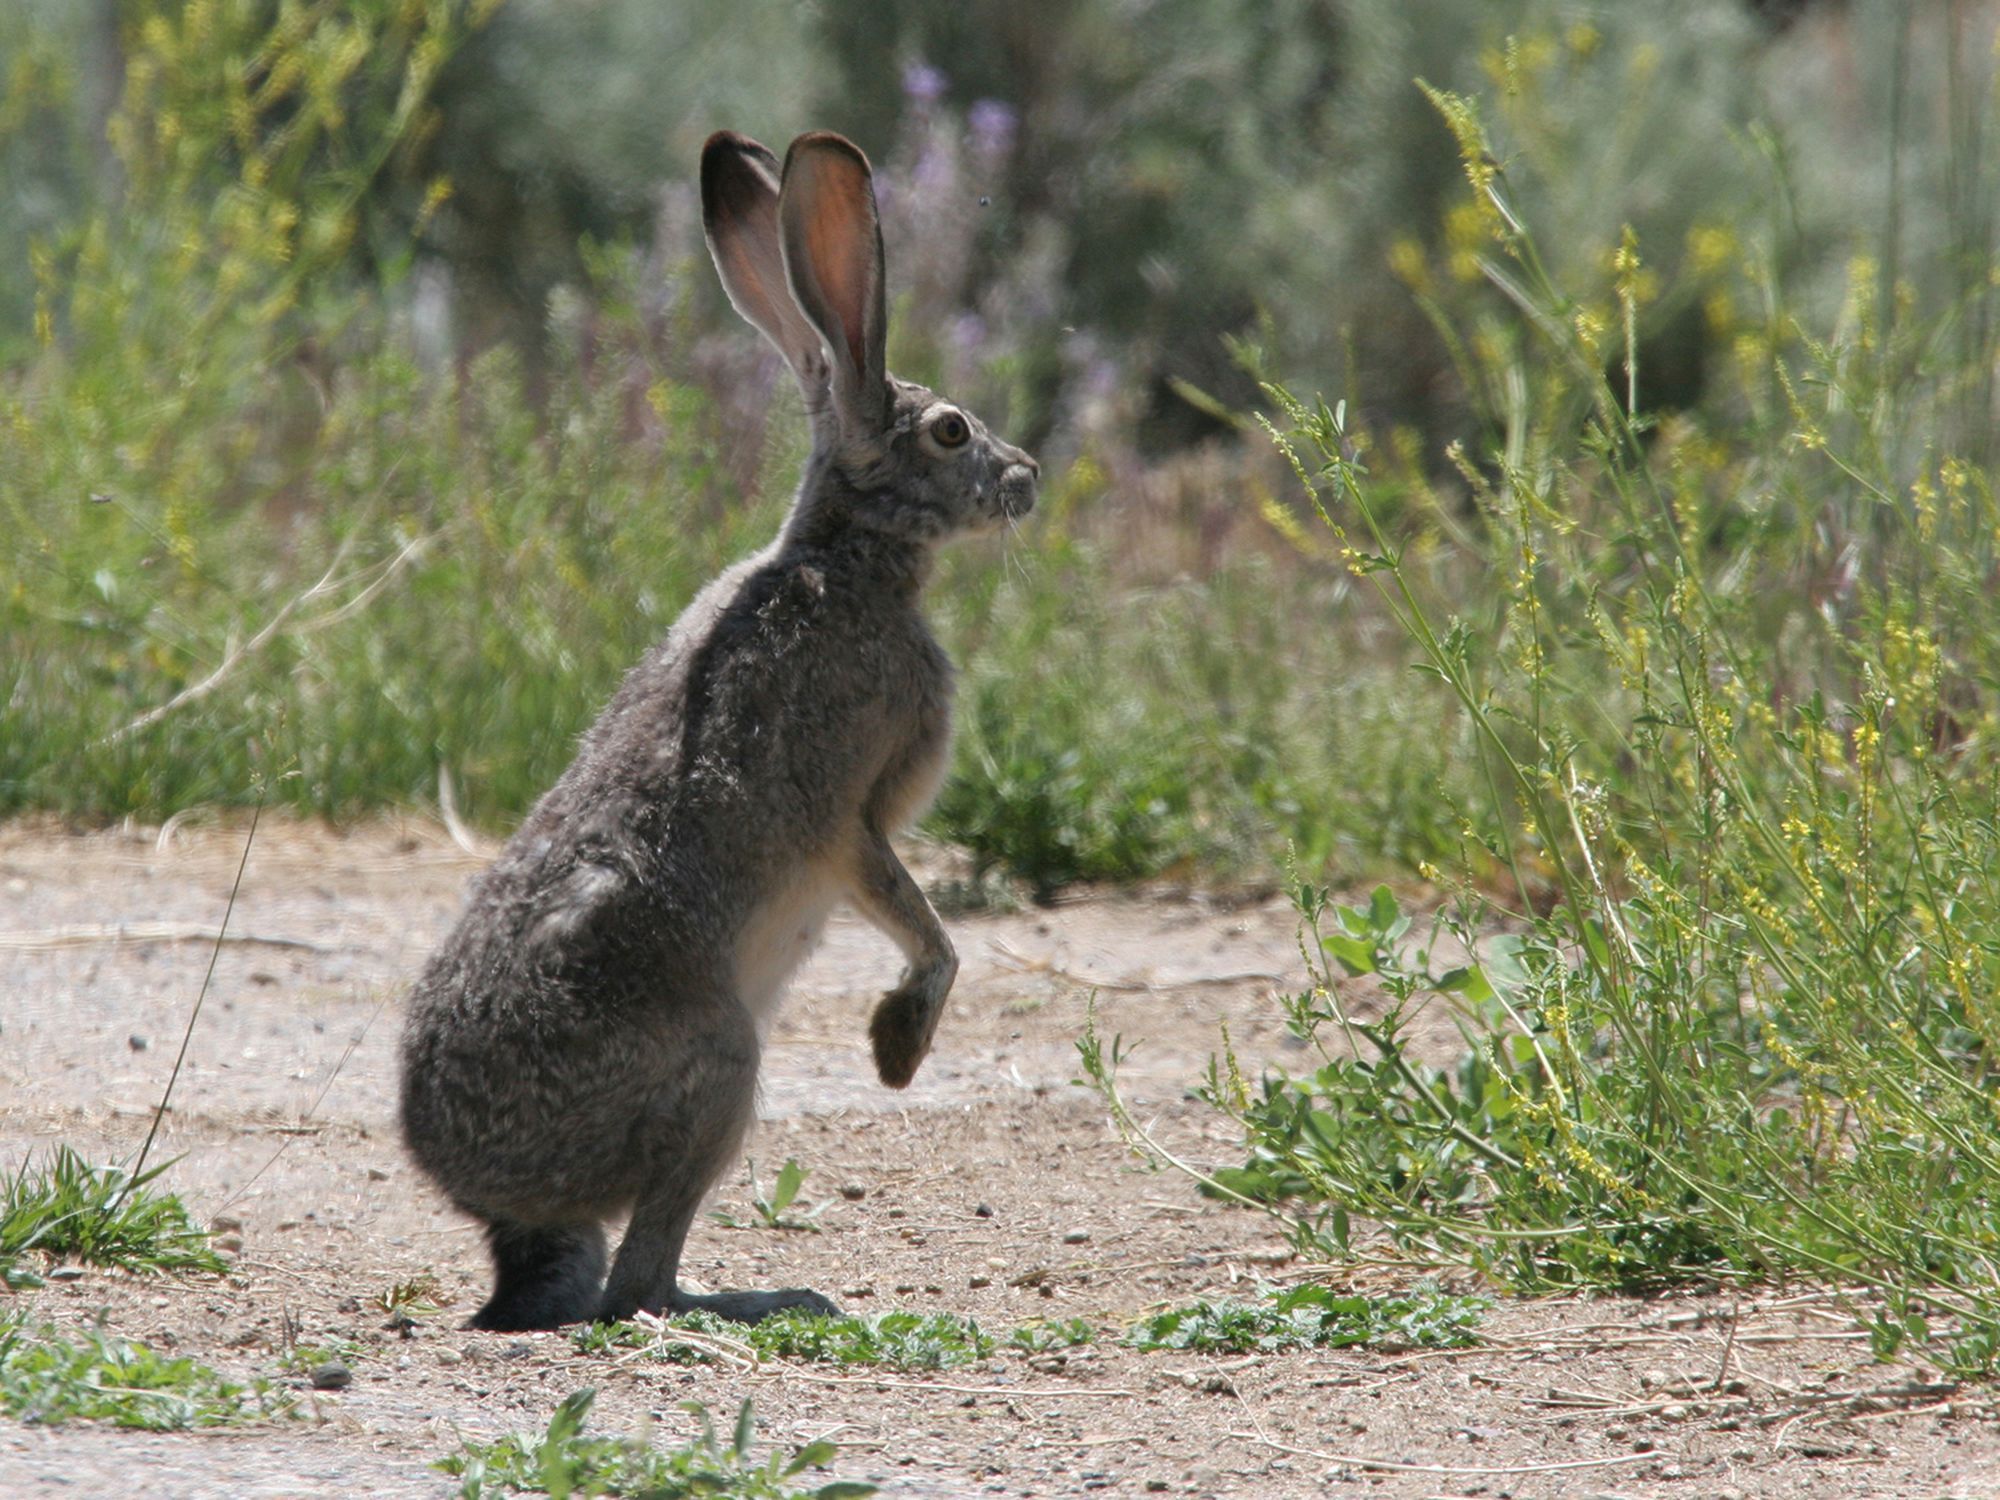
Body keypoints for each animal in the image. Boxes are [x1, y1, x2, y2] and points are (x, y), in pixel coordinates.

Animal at [398, 129, 1039, 1332]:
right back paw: (757, 1299)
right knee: (635, 1285)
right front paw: (896, 1049)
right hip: (719, 1067)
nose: (1027, 479)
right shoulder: (844, 817)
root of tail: (509, 1211)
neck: (846, 556)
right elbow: (928, 929)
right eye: (949, 431)